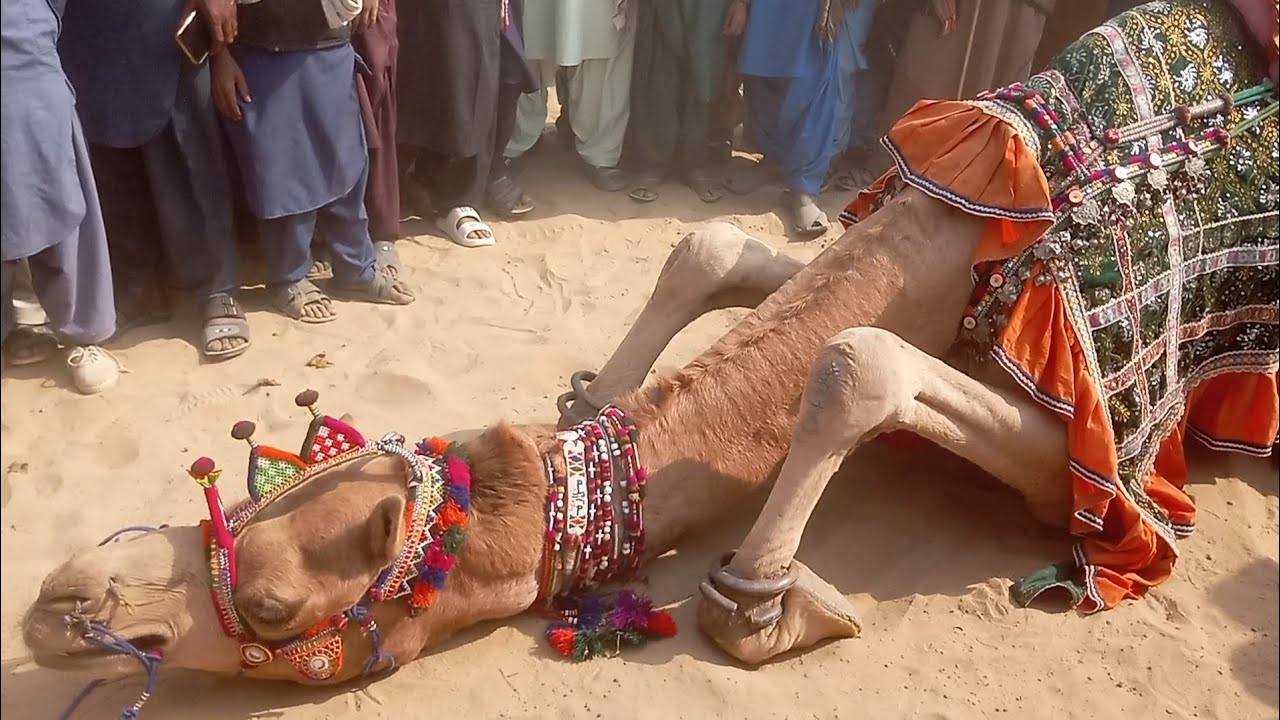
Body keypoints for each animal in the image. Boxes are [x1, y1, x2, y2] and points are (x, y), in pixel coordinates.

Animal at [19, 0, 1280, 713]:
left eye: (275, 606)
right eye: (247, 493)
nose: (57, 597)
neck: (981, 213)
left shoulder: (1090, 456)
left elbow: (856, 361)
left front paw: (760, 602)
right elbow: (708, 244)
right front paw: (591, 396)